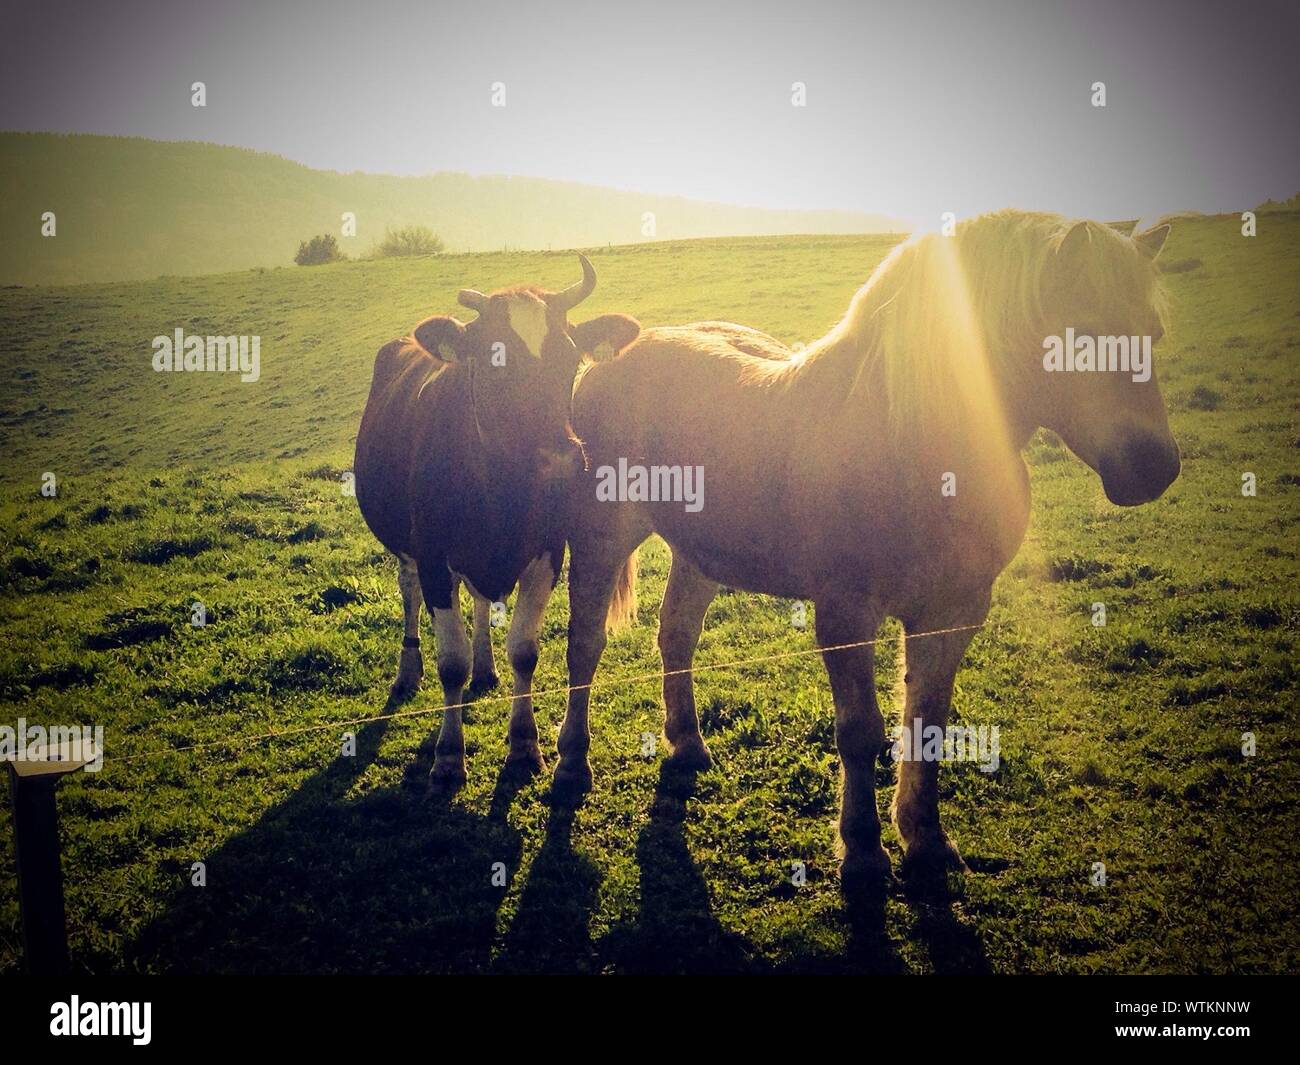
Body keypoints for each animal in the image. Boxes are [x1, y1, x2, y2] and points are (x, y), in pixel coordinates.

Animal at [354, 255, 639, 787]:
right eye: (493, 362)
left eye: (571, 359)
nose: (561, 462)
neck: (500, 491)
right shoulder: (433, 558)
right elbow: (451, 663)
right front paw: (449, 757)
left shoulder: (547, 554)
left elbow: (524, 650)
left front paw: (525, 746)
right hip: (404, 549)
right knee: (409, 595)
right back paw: (407, 670)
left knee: (482, 601)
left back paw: (485, 668)